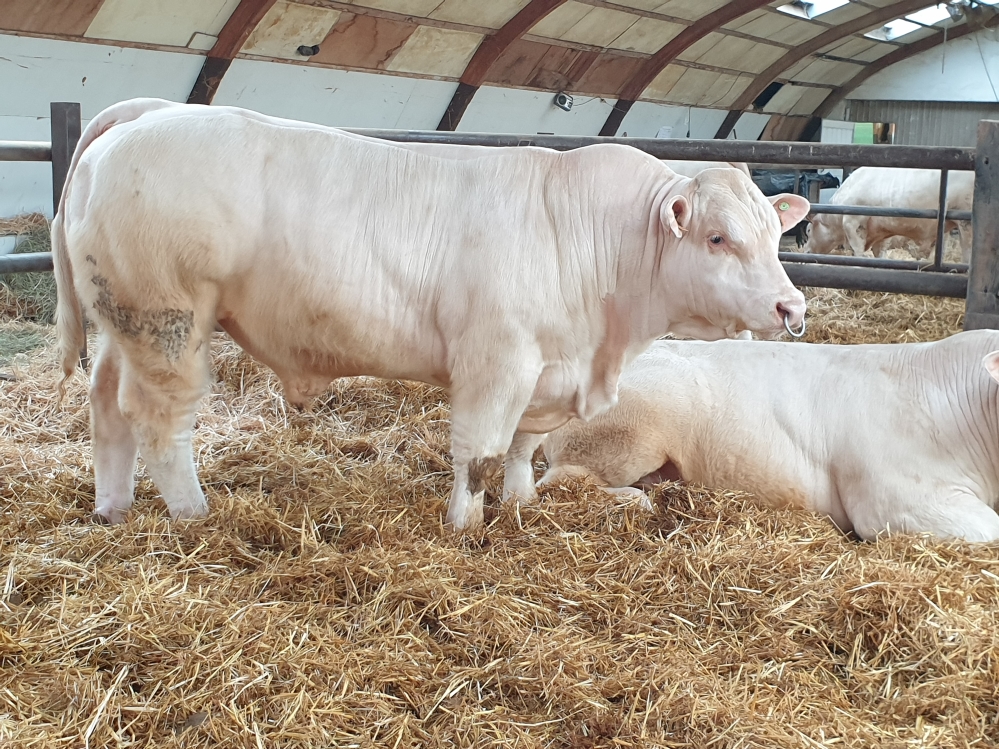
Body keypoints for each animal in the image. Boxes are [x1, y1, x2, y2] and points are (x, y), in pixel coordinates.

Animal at [53, 99, 808, 530]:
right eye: (718, 237)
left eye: (776, 235)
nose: (791, 306)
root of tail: (145, 116)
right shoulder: (495, 362)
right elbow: (477, 451)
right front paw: (464, 523)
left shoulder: (546, 370)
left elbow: (522, 446)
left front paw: (522, 505)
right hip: (167, 319)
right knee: (160, 422)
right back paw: (192, 513)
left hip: (123, 320)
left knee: (107, 405)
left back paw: (113, 507)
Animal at [802, 167, 973, 262]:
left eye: (808, 230)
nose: (806, 251)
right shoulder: (881, 229)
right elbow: (880, 253)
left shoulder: (853, 222)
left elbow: (858, 249)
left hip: (966, 223)